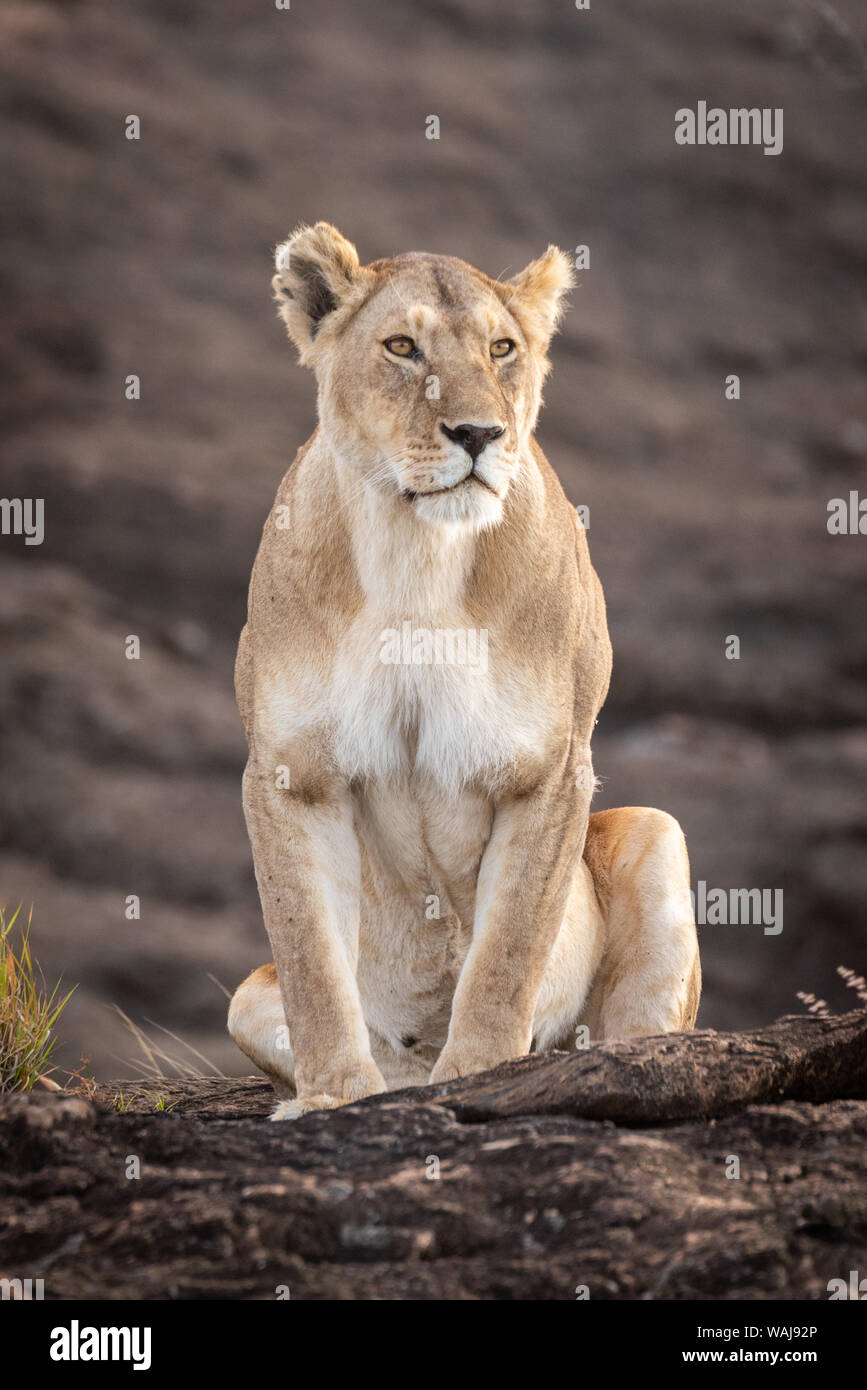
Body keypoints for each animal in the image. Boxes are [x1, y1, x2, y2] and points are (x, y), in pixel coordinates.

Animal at [228, 222, 701, 1119]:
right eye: (402, 347)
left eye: (501, 348)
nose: (479, 434)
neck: (416, 558)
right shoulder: (289, 773)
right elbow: (311, 961)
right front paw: (331, 1097)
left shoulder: (549, 770)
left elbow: (505, 952)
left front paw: (480, 1075)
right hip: (245, 999)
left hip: (656, 831)